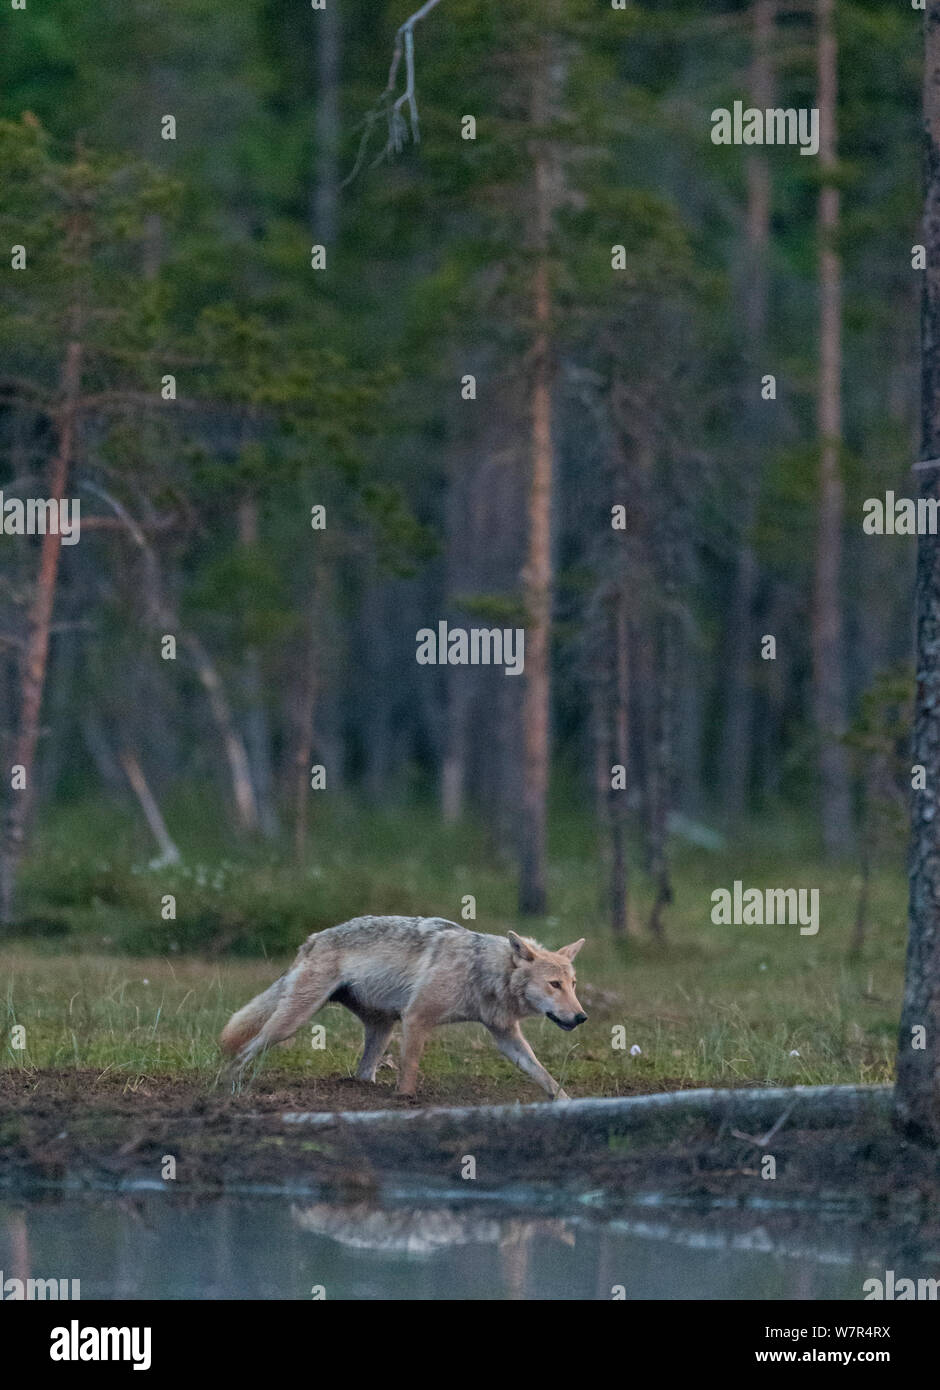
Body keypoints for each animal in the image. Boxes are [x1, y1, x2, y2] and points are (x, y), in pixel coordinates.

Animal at [219, 915, 587, 1099]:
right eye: (554, 985)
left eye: (573, 984)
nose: (582, 1017)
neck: (482, 971)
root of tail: (313, 938)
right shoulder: (416, 1018)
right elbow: (410, 1069)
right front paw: (404, 1101)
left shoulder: (506, 1036)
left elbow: (545, 1076)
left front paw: (569, 1105)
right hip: (292, 1022)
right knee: (246, 1049)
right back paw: (230, 1086)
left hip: (382, 1029)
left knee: (363, 1073)